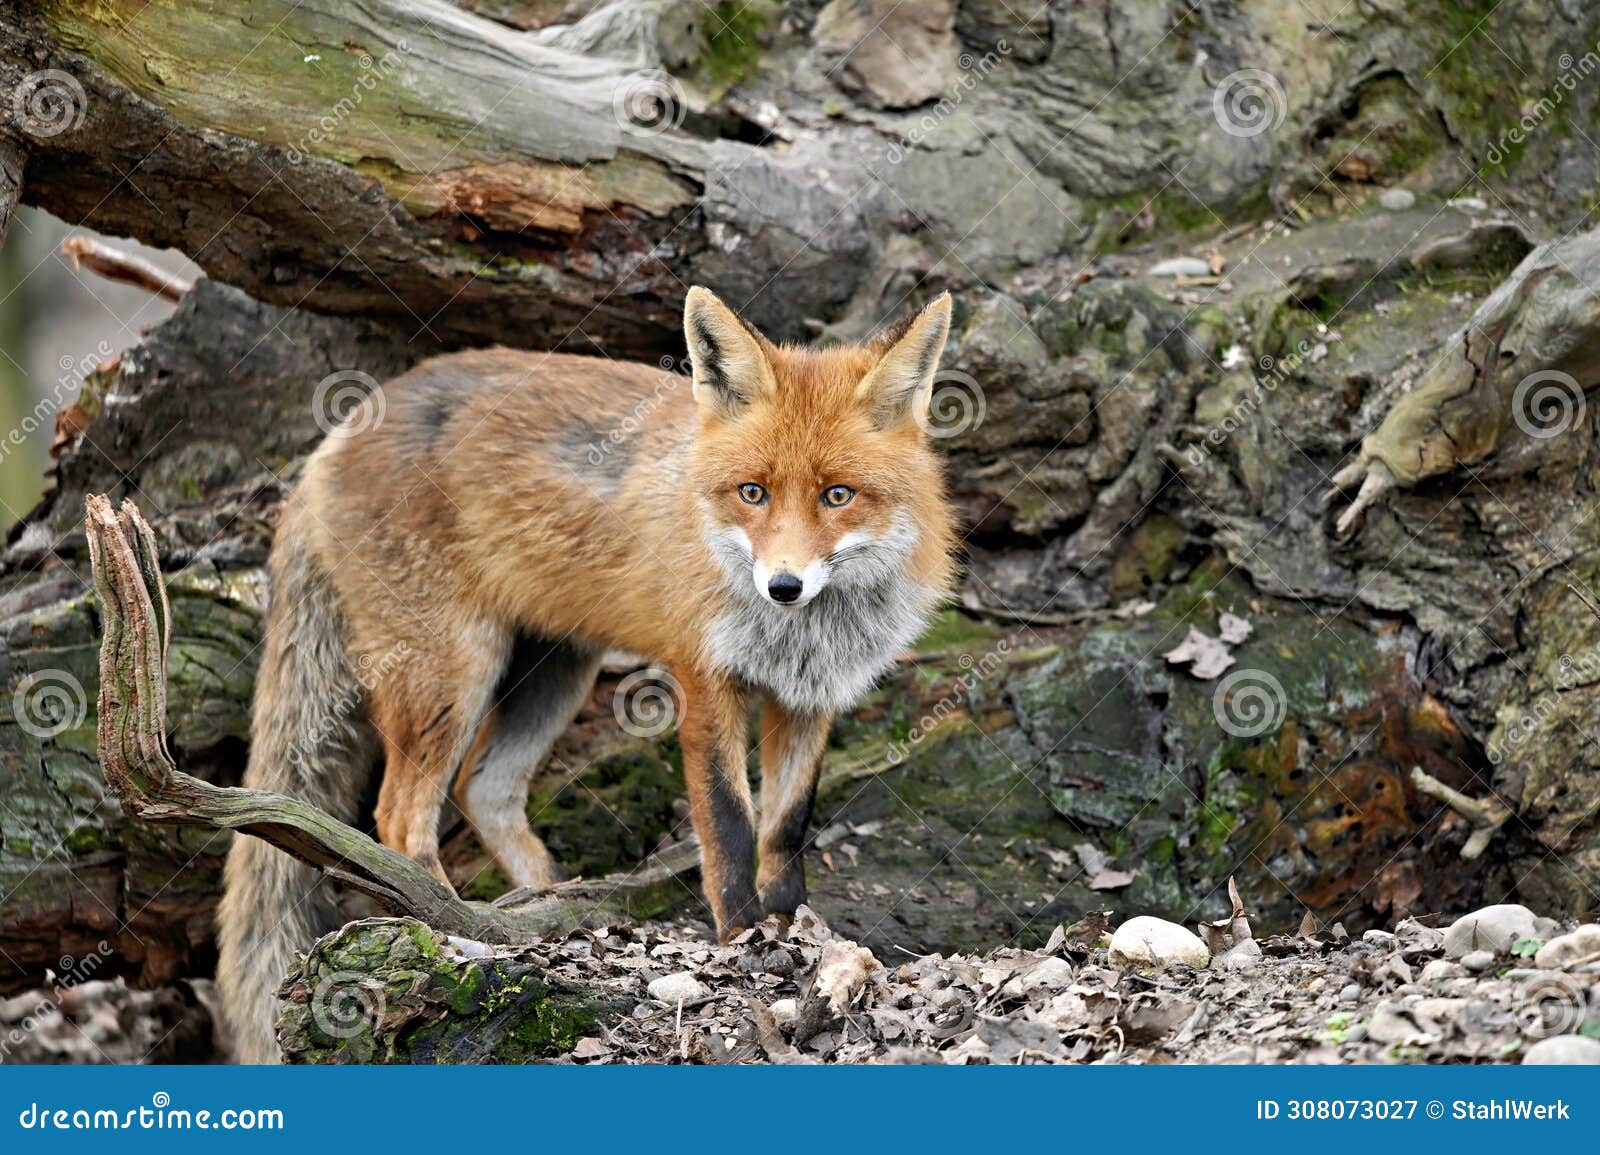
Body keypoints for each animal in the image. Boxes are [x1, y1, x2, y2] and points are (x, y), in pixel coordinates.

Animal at [216, 287, 959, 1062]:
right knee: (400, 813)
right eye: (752, 492)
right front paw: (744, 941)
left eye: (838, 495)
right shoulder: (705, 678)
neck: (802, 632)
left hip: (554, 672)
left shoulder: (810, 696)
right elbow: (729, 821)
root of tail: (335, 437)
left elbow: (784, 829)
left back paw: (545, 909)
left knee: (484, 790)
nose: (783, 586)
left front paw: (792, 930)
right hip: (455, 669)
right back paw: (448, 922)